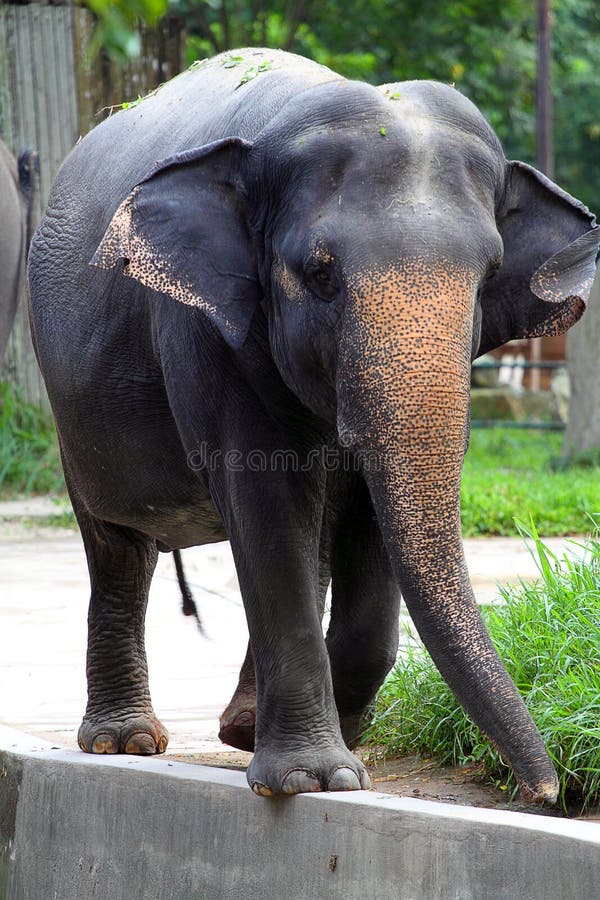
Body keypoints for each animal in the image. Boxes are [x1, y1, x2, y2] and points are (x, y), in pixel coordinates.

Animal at [28, 48, 599, 800]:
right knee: (118, 545)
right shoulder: (201, 328)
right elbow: (267, 503)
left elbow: (364, 518)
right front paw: (312, 780)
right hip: (69, 404)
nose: (548, 790)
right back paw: (124, 742)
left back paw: (240, 728)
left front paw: (332, 746)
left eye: (491, 273)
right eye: (320, 273)